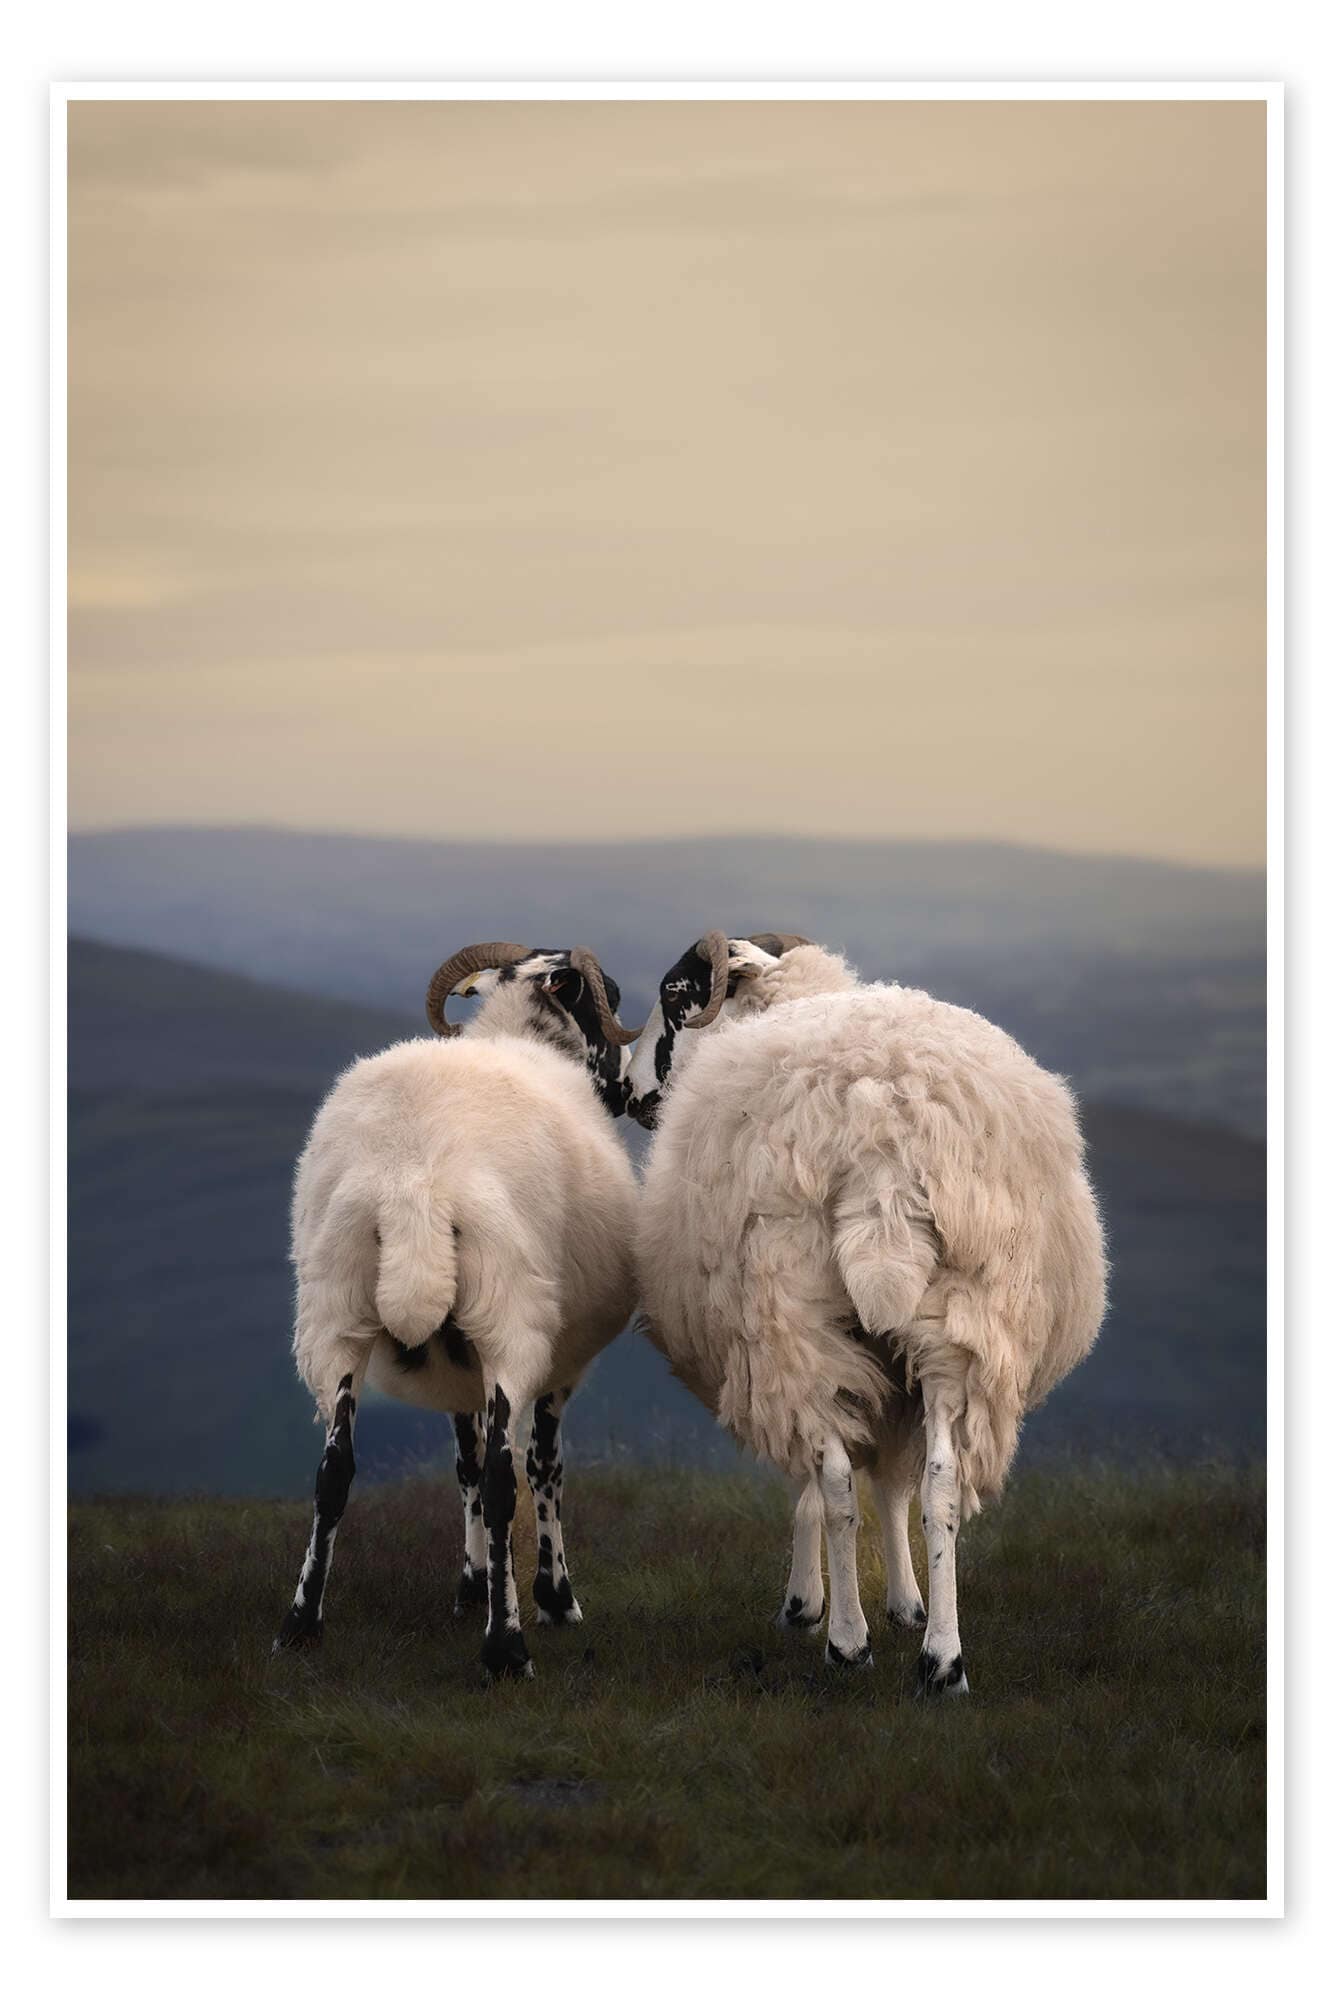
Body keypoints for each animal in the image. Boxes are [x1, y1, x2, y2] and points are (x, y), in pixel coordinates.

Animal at [274, 940, 641, 1679]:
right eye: (606, 996)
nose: (623, 1091)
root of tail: (411, 1182)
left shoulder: (454, 1366)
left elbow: (464, 1464)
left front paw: (472, 1587)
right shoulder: (560, 1358)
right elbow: (541, 1467)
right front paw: (552, 1598)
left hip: (334, 1309)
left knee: (334, 1469)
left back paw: (301, 1624)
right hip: (509, 1314)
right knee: (506, 1480)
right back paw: (506, 1649)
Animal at [625, 932, 1107, 1694]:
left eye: (675, 994)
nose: (628, 1089)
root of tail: (881, 1134)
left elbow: (821, 1486)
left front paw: (806, 1606)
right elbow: (895, 1483)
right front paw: (908, 1606)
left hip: (789, 1310)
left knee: (833, 1483)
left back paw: (848, 1645)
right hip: (960, 1326)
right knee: (940, 1486)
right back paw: (942, 1662)